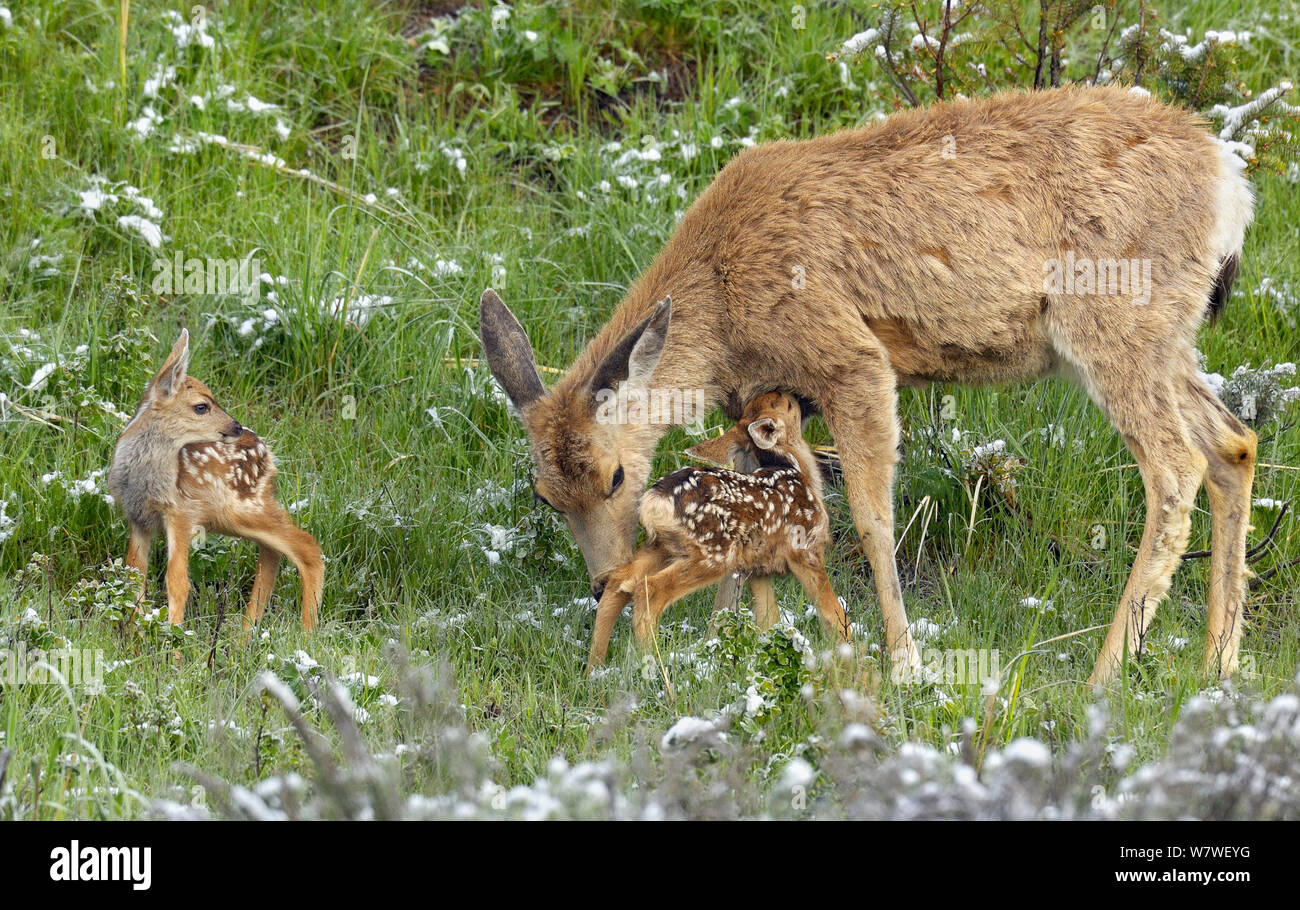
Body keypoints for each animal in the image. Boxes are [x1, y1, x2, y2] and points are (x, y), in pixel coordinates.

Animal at [106, 330, 324, 632]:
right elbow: (134, 577)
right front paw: (136, 635)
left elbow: (177, 582)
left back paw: (307, 632)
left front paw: (172, 639)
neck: (145, 478)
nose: (236, 426)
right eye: (202, 406)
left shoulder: (181, 512)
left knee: (306, 546)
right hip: (235, 514)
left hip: (241, 508)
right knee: (273, 551)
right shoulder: (139, 517)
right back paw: (245, 635)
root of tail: (268, 455)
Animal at [585, 390, 849, 673]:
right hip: (714, 552)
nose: (792, 393)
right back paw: (656, 666)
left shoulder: (756, 568)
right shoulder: (805, 549)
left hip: (663, 547)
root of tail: (654, 501)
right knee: (651, 590)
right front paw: (851, 656)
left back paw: (594, 669)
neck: (799, 472)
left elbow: (770, 620)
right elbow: (833, 612)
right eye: (783, 402)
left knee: (618, 583)